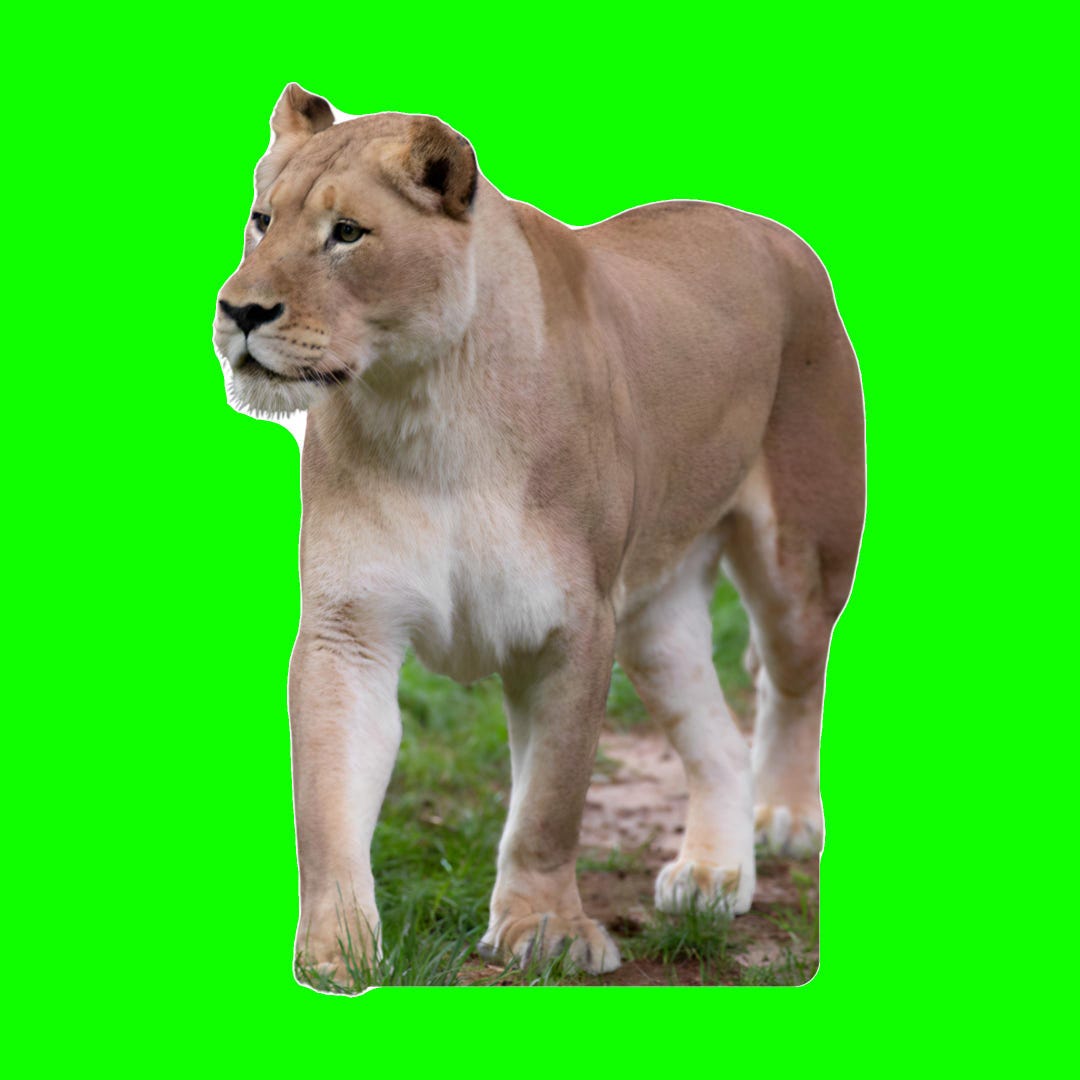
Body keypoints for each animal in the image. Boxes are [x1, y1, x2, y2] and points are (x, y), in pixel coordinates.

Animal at [213, 84, 865, 990]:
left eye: (347, 233)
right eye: (262, 220)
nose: (239, 311)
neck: (423, 403)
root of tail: (773, 230)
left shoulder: (571, 626)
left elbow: (548, 807)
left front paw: (547, 930)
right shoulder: (351, 631)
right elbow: (328, 802)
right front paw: (336, 954)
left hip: (798, 562)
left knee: (790, 683)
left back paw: (785, 819)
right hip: (655, 616)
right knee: (717, 737)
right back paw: (713, 874)